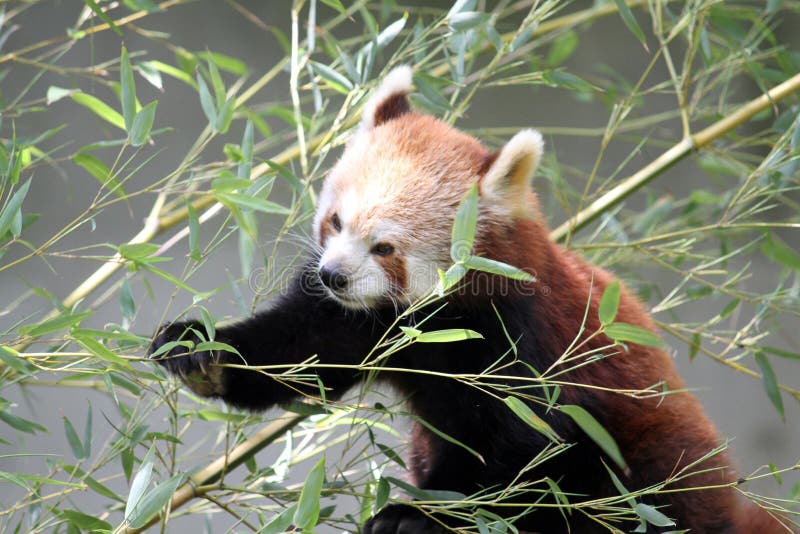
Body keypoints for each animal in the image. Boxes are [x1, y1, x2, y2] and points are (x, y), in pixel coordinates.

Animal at [150, 66, 788, 533]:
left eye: (385, 246)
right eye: (335, 222)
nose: (333, 276)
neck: (435, 322)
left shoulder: (527, 343)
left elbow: (523, 450)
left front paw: (421, 514)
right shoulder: (361, 322)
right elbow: (301, 351)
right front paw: (200, 351)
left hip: (653, 465)